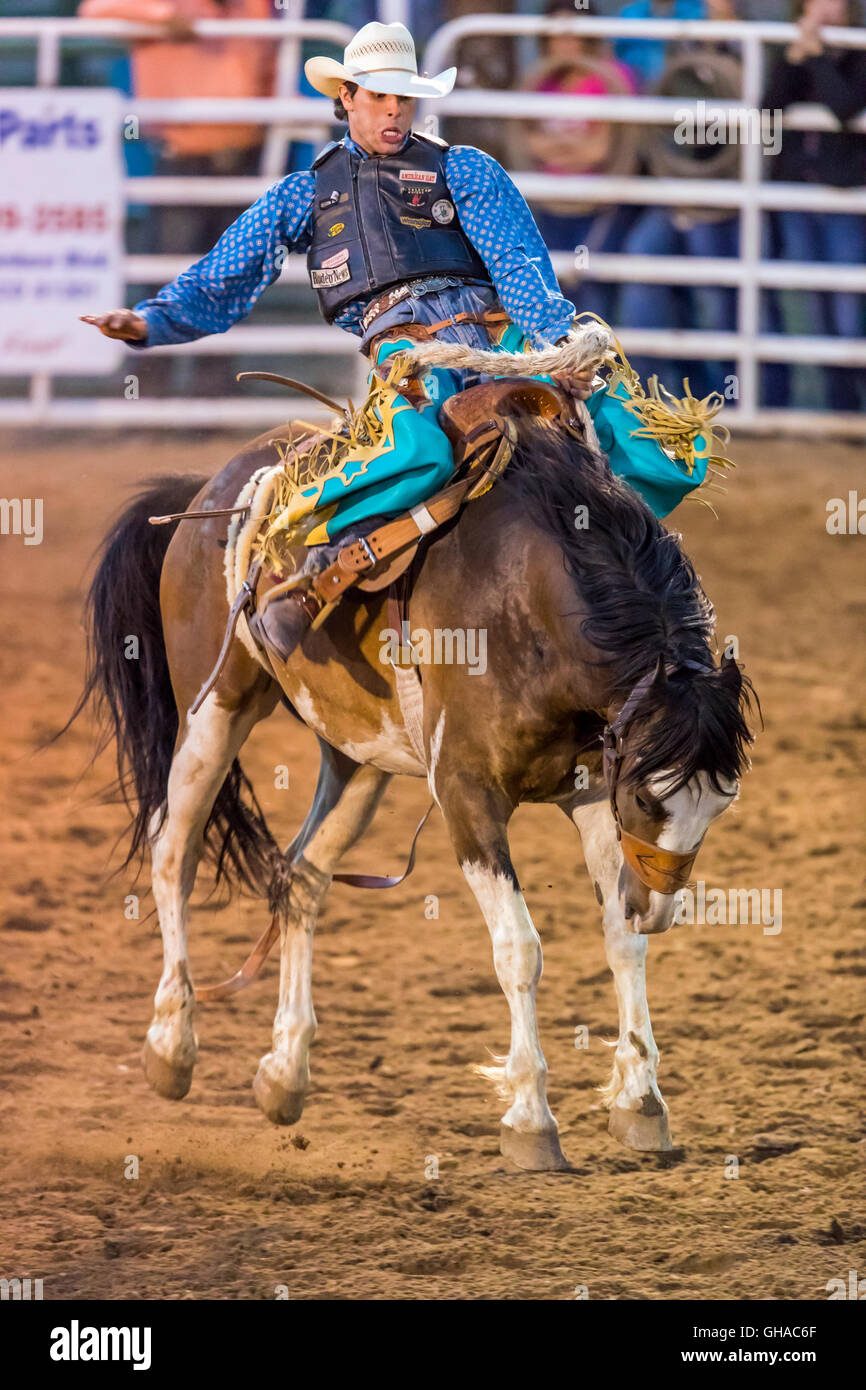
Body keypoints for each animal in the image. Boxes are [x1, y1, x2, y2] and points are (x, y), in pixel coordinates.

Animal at [74, 388, 756, 1172]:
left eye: (723, 802)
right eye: (649, 793)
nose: (661, 907)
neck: (530, 597)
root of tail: (207, 491)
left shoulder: (590, 791)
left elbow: (620, 937)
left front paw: (641, 1102)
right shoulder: (467, 796)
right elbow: (520, 950)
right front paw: (530, 1119)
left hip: (356, 754)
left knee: (300, 877)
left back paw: (284, 1072)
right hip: (214, 709)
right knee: (173, 854)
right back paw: (171, 1045)